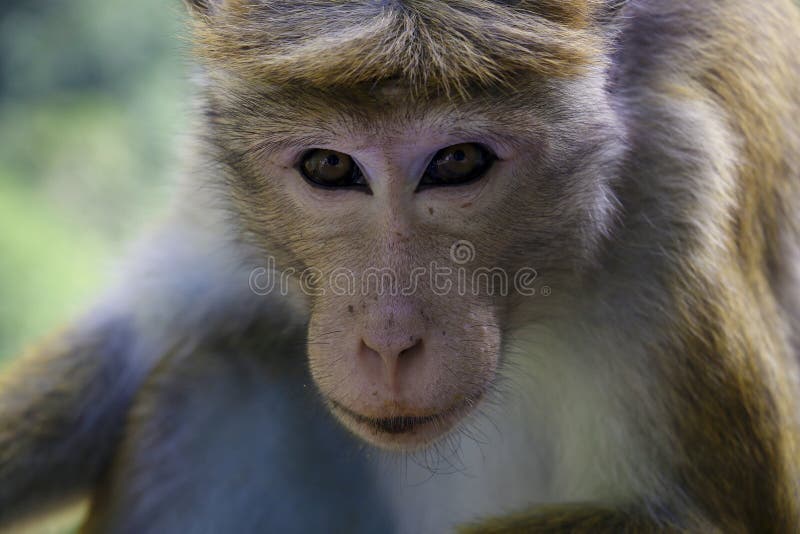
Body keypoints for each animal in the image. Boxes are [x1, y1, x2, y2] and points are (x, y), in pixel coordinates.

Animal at [2, 0, 800, 532]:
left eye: (458, 161)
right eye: (328, 167)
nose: (387, 343)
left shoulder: (676, 182)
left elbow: (684, 514)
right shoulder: (216, 169)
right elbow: (132, 334)